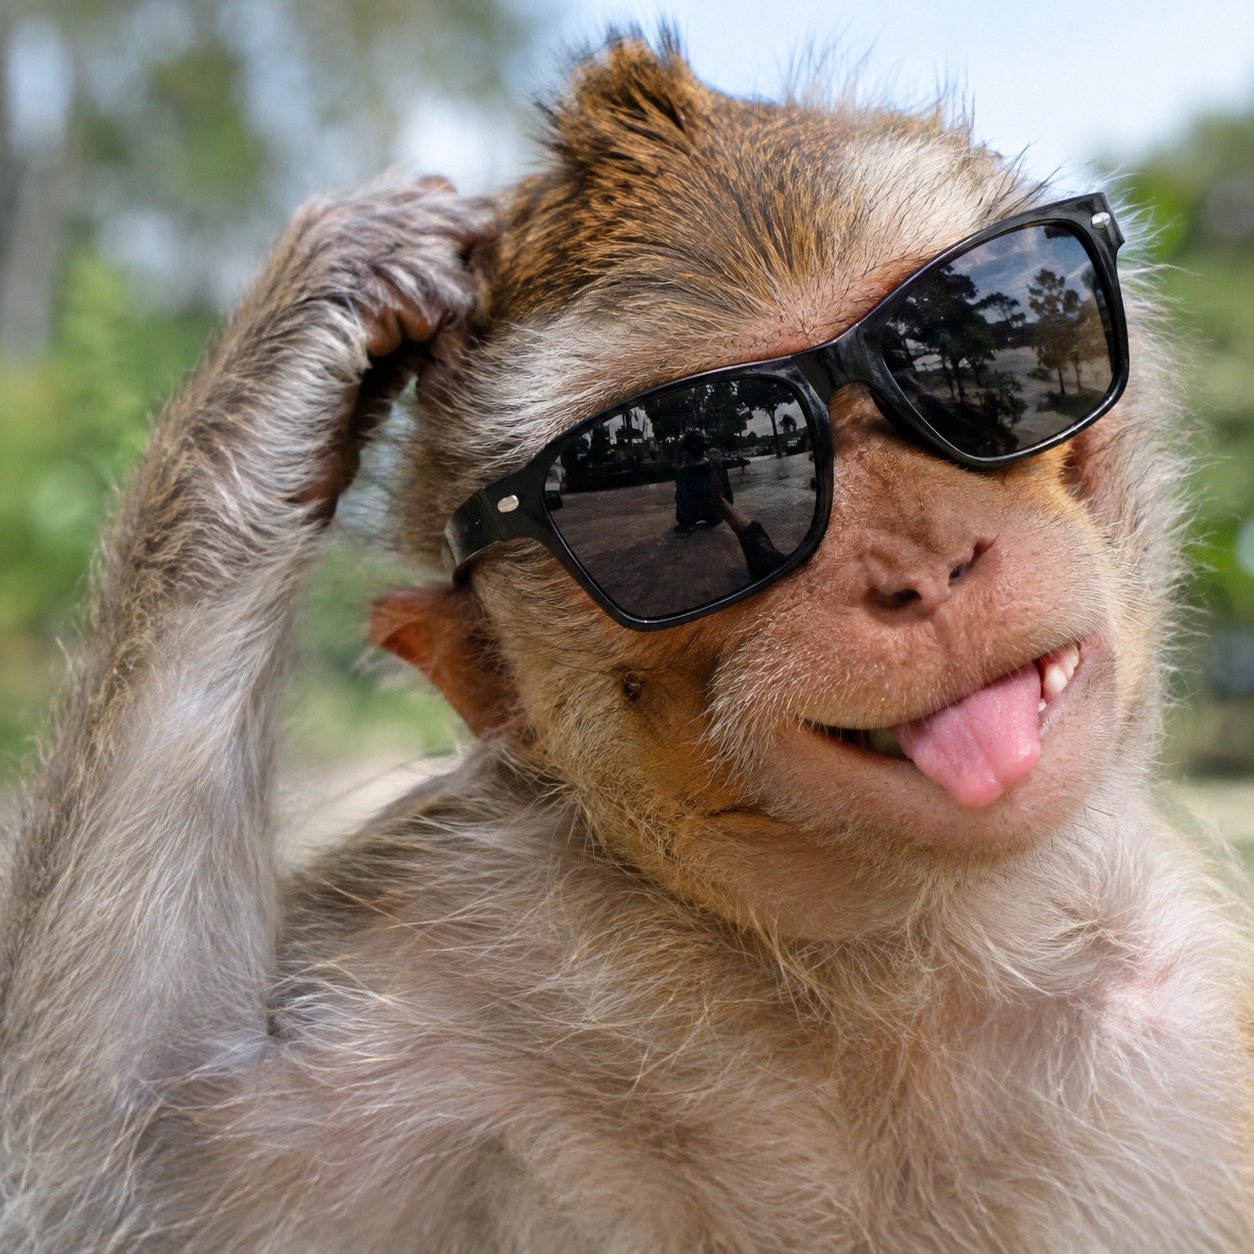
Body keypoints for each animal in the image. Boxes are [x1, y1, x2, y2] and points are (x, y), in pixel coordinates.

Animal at [3, 32, 1253, 1253]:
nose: (926, 566)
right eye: (698, 448)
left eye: (959, 352)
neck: (908, 972)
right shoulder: (452, 941)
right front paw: (331, 292)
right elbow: (123, 1158)